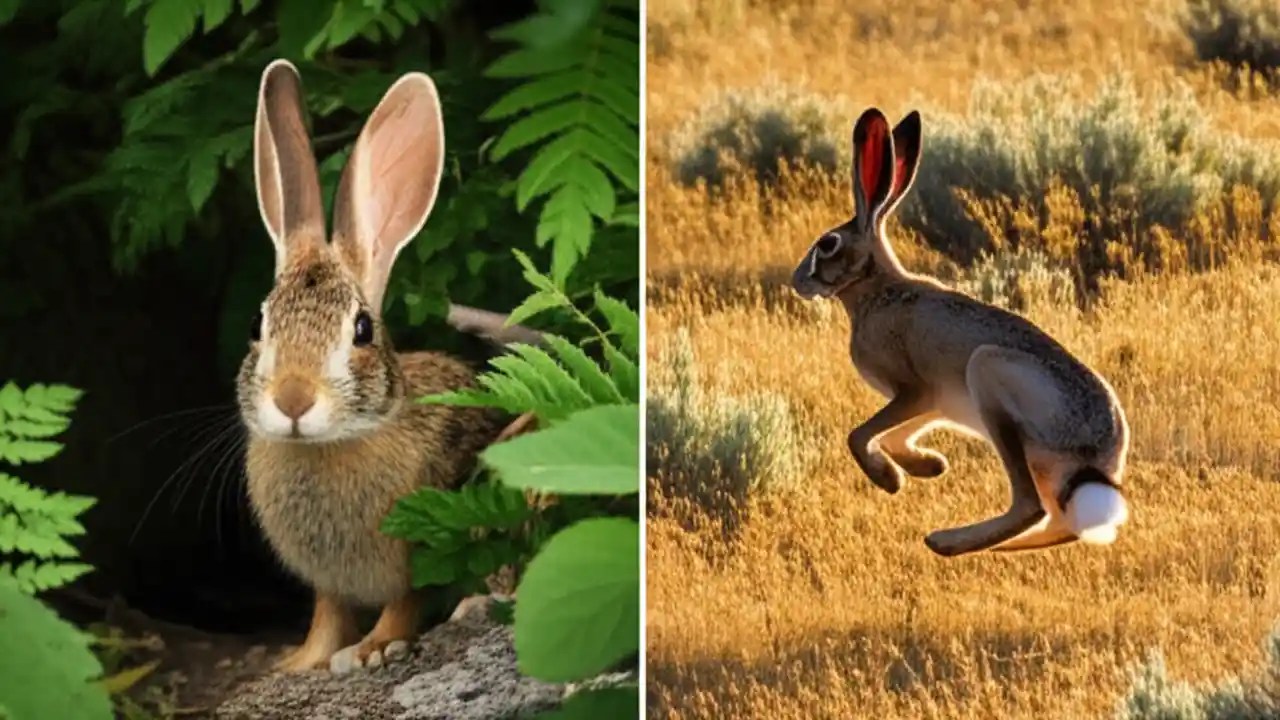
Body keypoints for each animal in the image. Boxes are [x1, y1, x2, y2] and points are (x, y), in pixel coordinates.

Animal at [237, 59, 524, 673]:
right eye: (257, 324)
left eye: (362, 330)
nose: (293, 400)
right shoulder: (328, 581)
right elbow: (328, 614)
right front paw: (301, 661)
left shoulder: (415, 551)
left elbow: (404, 601)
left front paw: (376, 648)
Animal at [790, 107, 1131, 557]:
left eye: (828, 244)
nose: (798, 281)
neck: (876, 289)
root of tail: (1099, 460)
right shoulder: (934, 404)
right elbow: (895, 437)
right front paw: (929, 466)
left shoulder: (913, 392)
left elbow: (858, 435)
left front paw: (890, 479)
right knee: (1059, 523)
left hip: (990, 377)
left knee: (1029, 506)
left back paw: (946, 542)